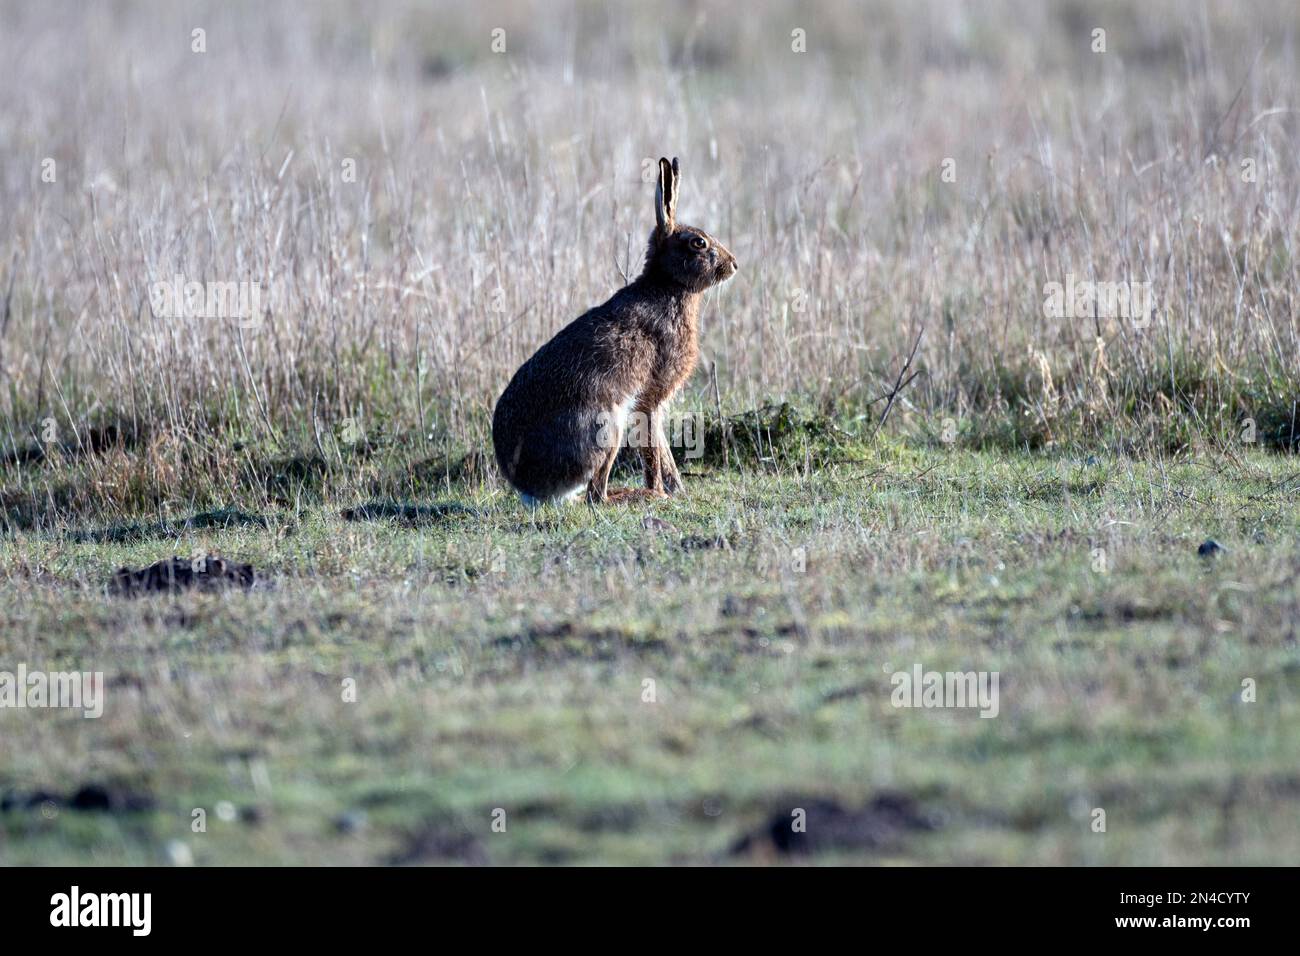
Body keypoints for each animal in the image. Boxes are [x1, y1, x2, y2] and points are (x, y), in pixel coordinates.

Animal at [493, 157, 737, 506]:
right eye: (698, 243)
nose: (733, 265)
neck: (669, 284)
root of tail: (526, 485)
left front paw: (677, 489)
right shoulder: (651, 398)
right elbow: (653, 450)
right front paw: (662, 491)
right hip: (605, 425)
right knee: (596, 494)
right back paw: (636, 496)